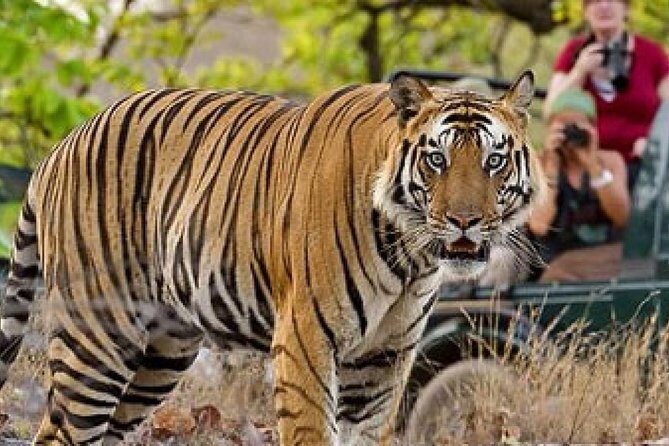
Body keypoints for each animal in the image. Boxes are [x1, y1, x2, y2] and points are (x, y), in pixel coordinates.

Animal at [0, 71, 544, 445]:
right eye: (437, 160)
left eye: (494, 160)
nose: (464, 221)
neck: (410, 259)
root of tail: (61, 146)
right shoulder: (306, 339)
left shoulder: (384, 360)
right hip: (99, 332)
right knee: (63, 432)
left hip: (162, 352)